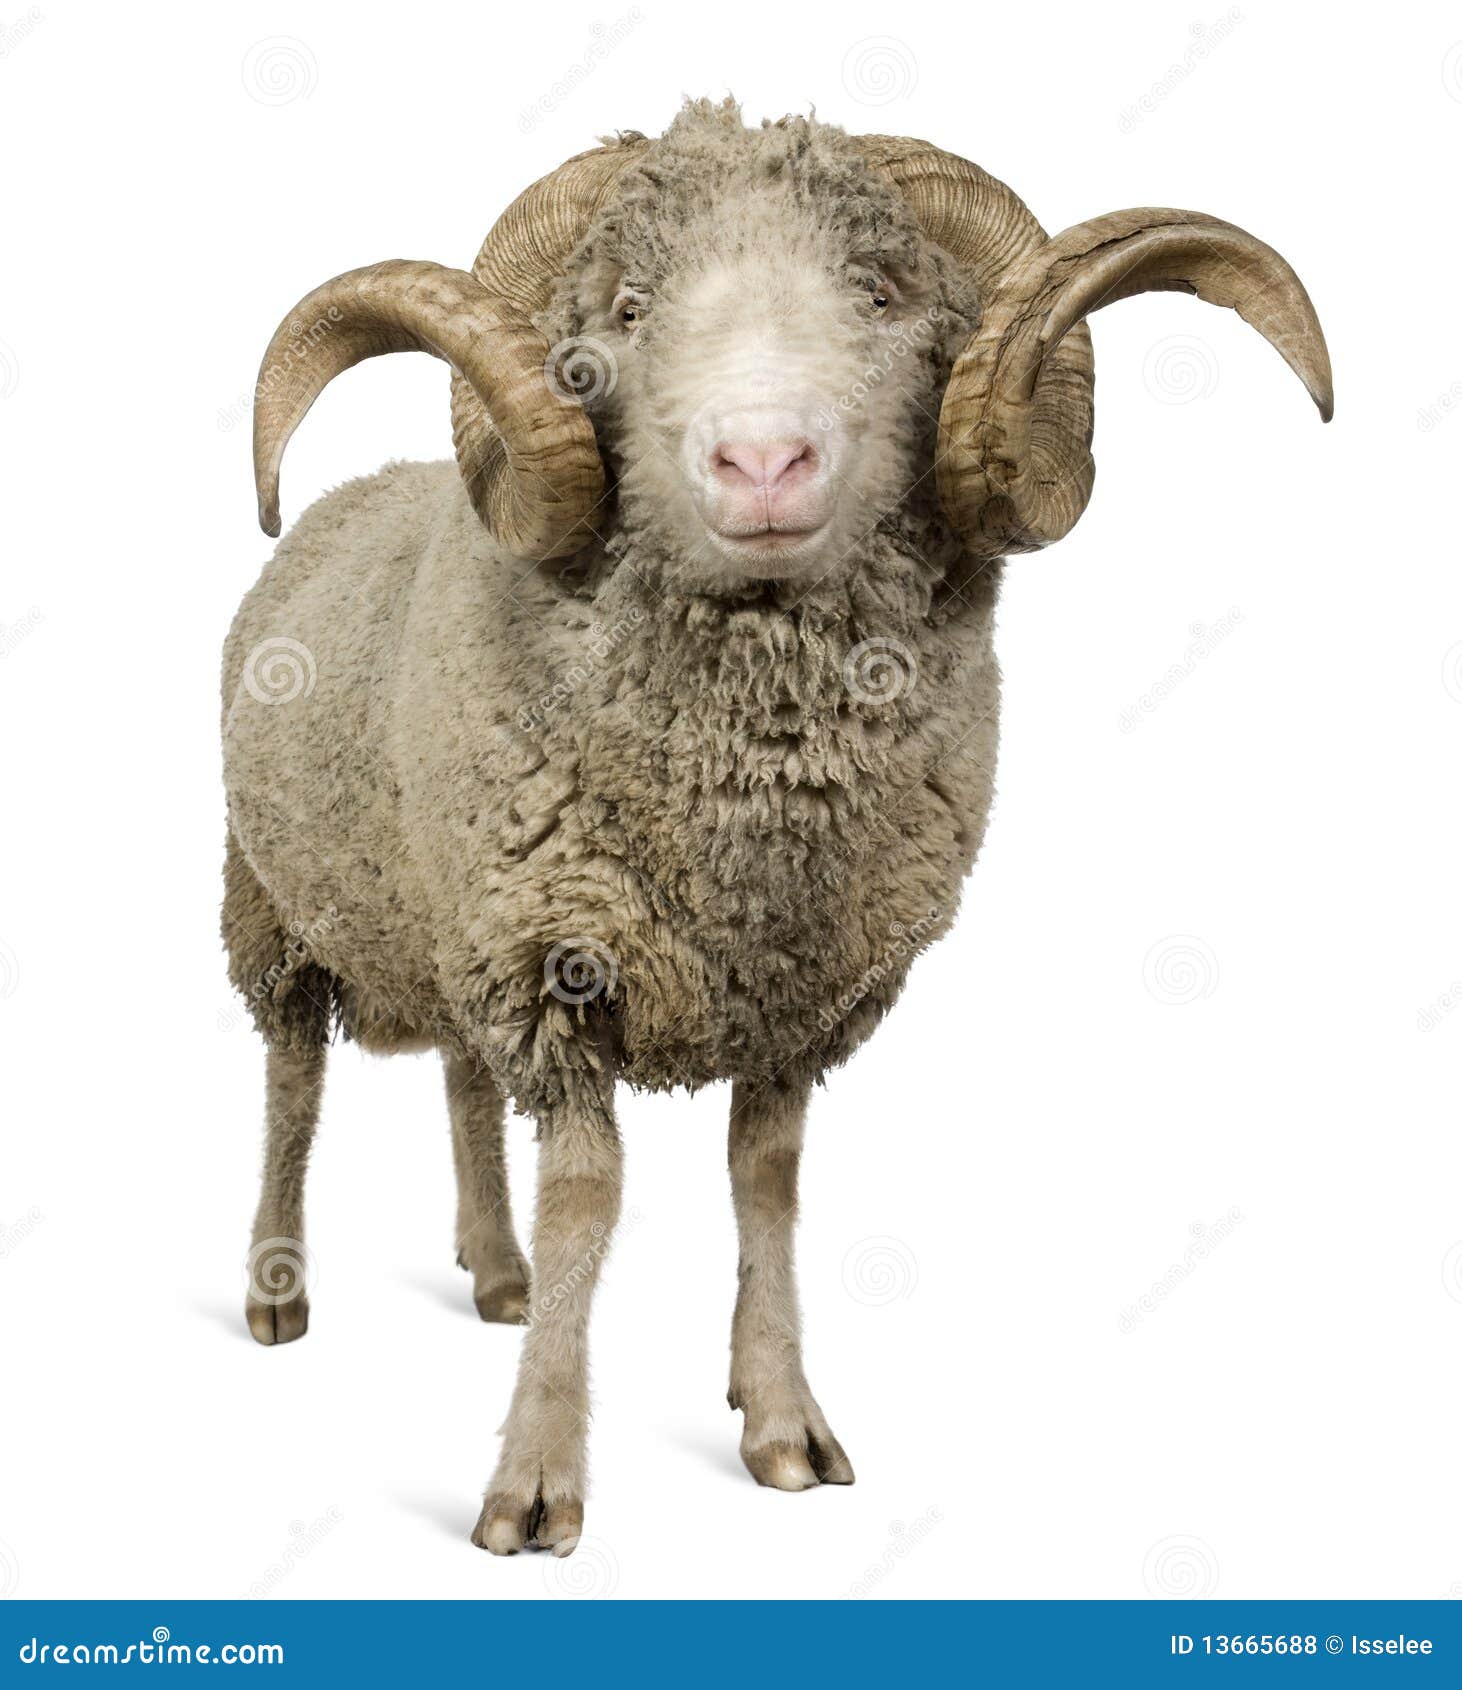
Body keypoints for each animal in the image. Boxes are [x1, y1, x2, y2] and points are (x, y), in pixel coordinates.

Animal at [223, 98, 1331, 1556]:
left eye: (882, 294)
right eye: (624, 311)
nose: (759, 461)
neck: (746, 805)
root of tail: (345, 495)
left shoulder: (802, 987)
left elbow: (769, 1183)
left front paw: (783, 1422)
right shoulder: (556, 960)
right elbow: (588, 1200)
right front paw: (535, 1479)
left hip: (440, 904)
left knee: (462, 1075)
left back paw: (496, 1272)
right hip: (271, 907)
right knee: (292, 1084)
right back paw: (279, 1291)